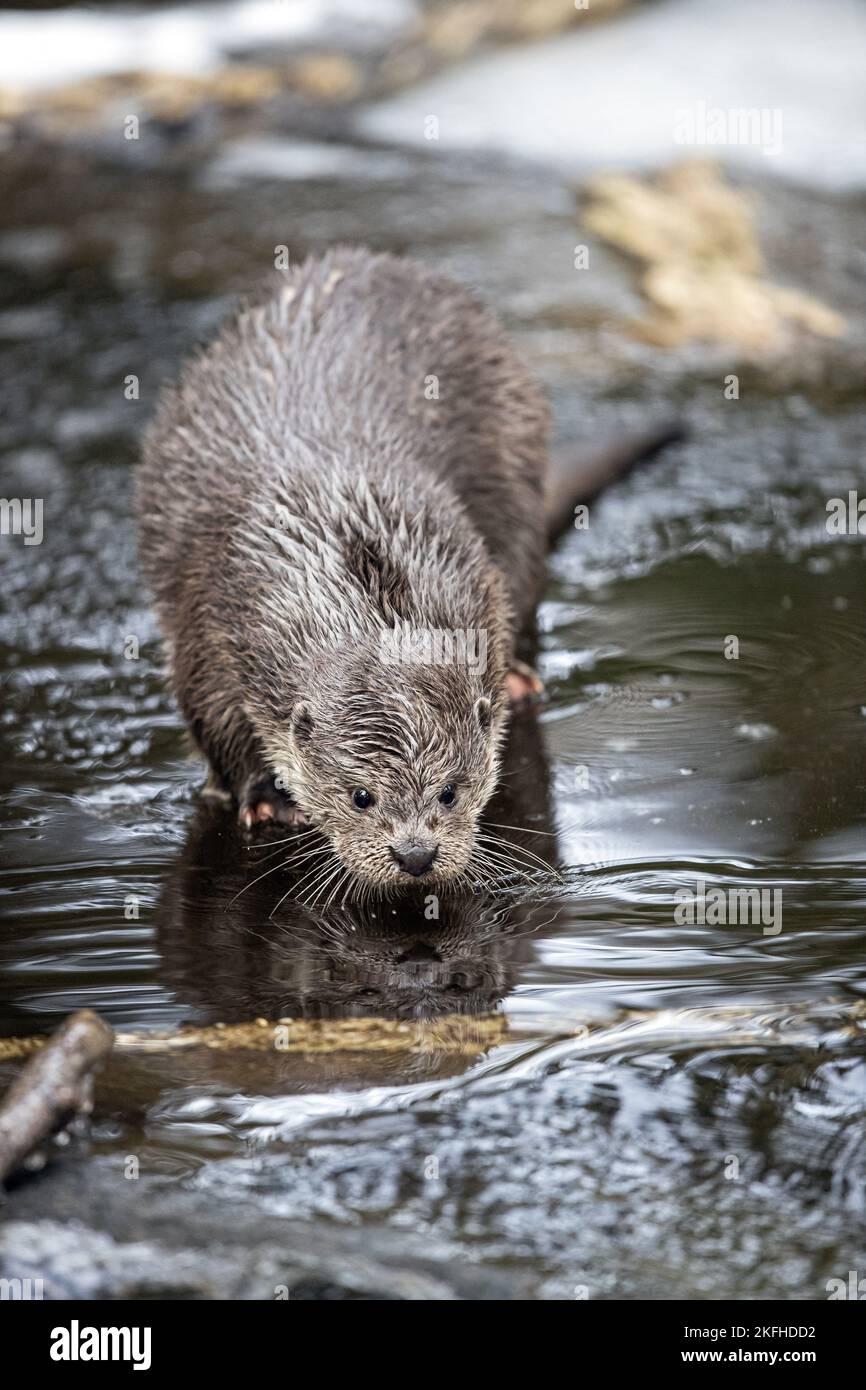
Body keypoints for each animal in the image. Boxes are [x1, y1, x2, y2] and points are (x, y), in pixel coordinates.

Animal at [137, 247, 677, 894]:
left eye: (450, 792)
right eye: (360, 796)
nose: (416, 854)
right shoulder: (206, 619)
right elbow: (210, 715)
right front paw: (262, 795)